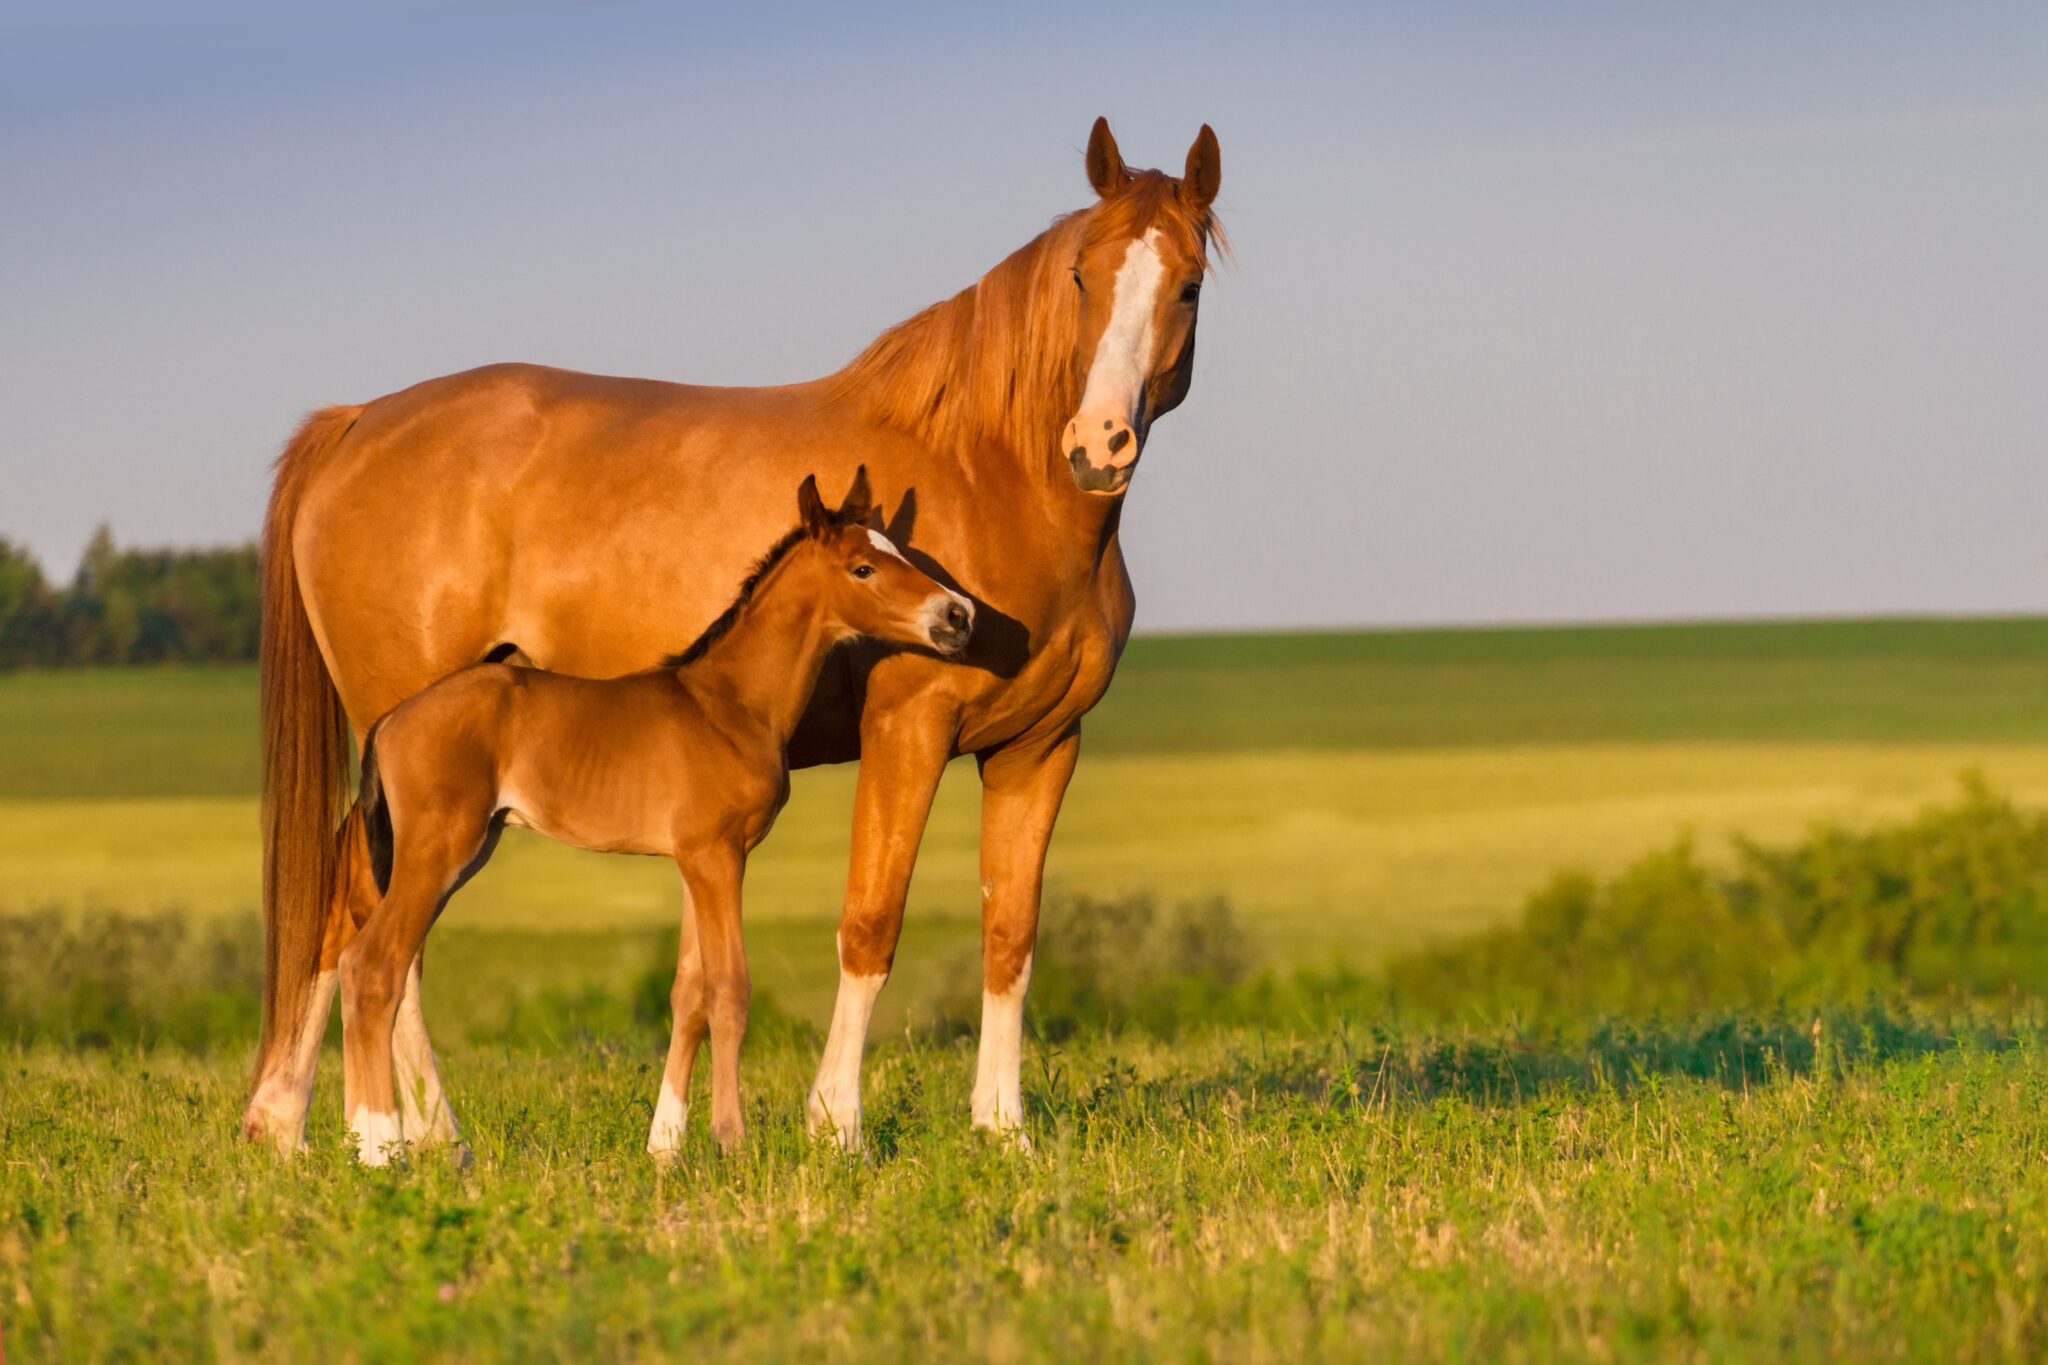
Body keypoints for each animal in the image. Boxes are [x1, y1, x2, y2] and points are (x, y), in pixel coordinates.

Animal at [340, 471, 971, 1164]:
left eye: (900, 552)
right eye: (863, 567)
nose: (957, 616)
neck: (729, 705)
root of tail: (391, 721)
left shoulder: (701, 860)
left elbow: (690, 992)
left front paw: (668, 1148)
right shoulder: (716, 856)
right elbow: (730, 990)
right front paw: (732, 1143)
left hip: (464, 852)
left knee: (369, 965)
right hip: (437, 851)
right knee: (373, 967)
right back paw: (380, 1150)